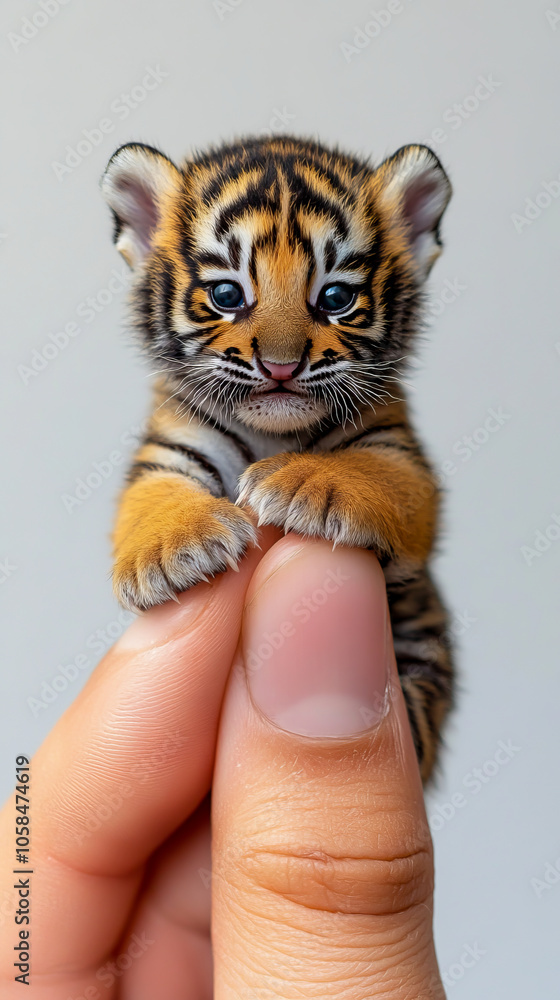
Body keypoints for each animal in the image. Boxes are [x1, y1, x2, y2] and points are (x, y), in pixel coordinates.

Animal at [101, 134, 454, 781]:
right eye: (227, 295)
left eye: (335, 298)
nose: (282, 366)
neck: (273, 434)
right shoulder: (167, 451)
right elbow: (152, 497)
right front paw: (175, 549)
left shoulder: (399, 454)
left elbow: (367, 471)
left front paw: (303, 485)